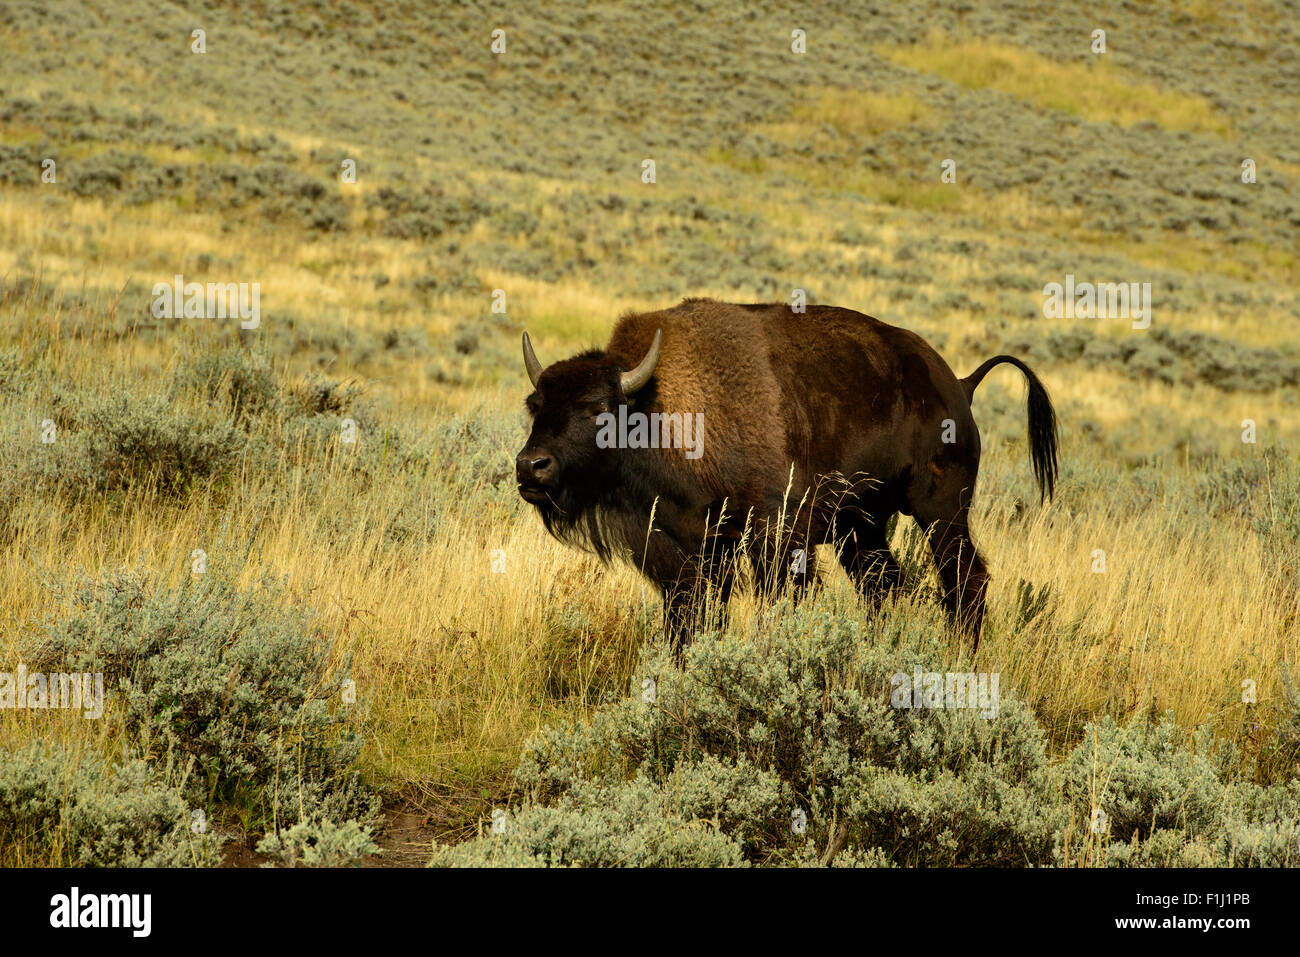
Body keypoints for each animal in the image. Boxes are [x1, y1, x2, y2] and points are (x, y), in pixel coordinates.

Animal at [516, 298, 1057, 655]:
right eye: (535, 404)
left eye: (596, 409)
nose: (530, 466)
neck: (659, 405)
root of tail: (959, 385)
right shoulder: (685, 550)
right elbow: (692, 617)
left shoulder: (774, 536)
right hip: (860, 525)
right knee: (883, 584)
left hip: (941, 512)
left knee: (965, 581)